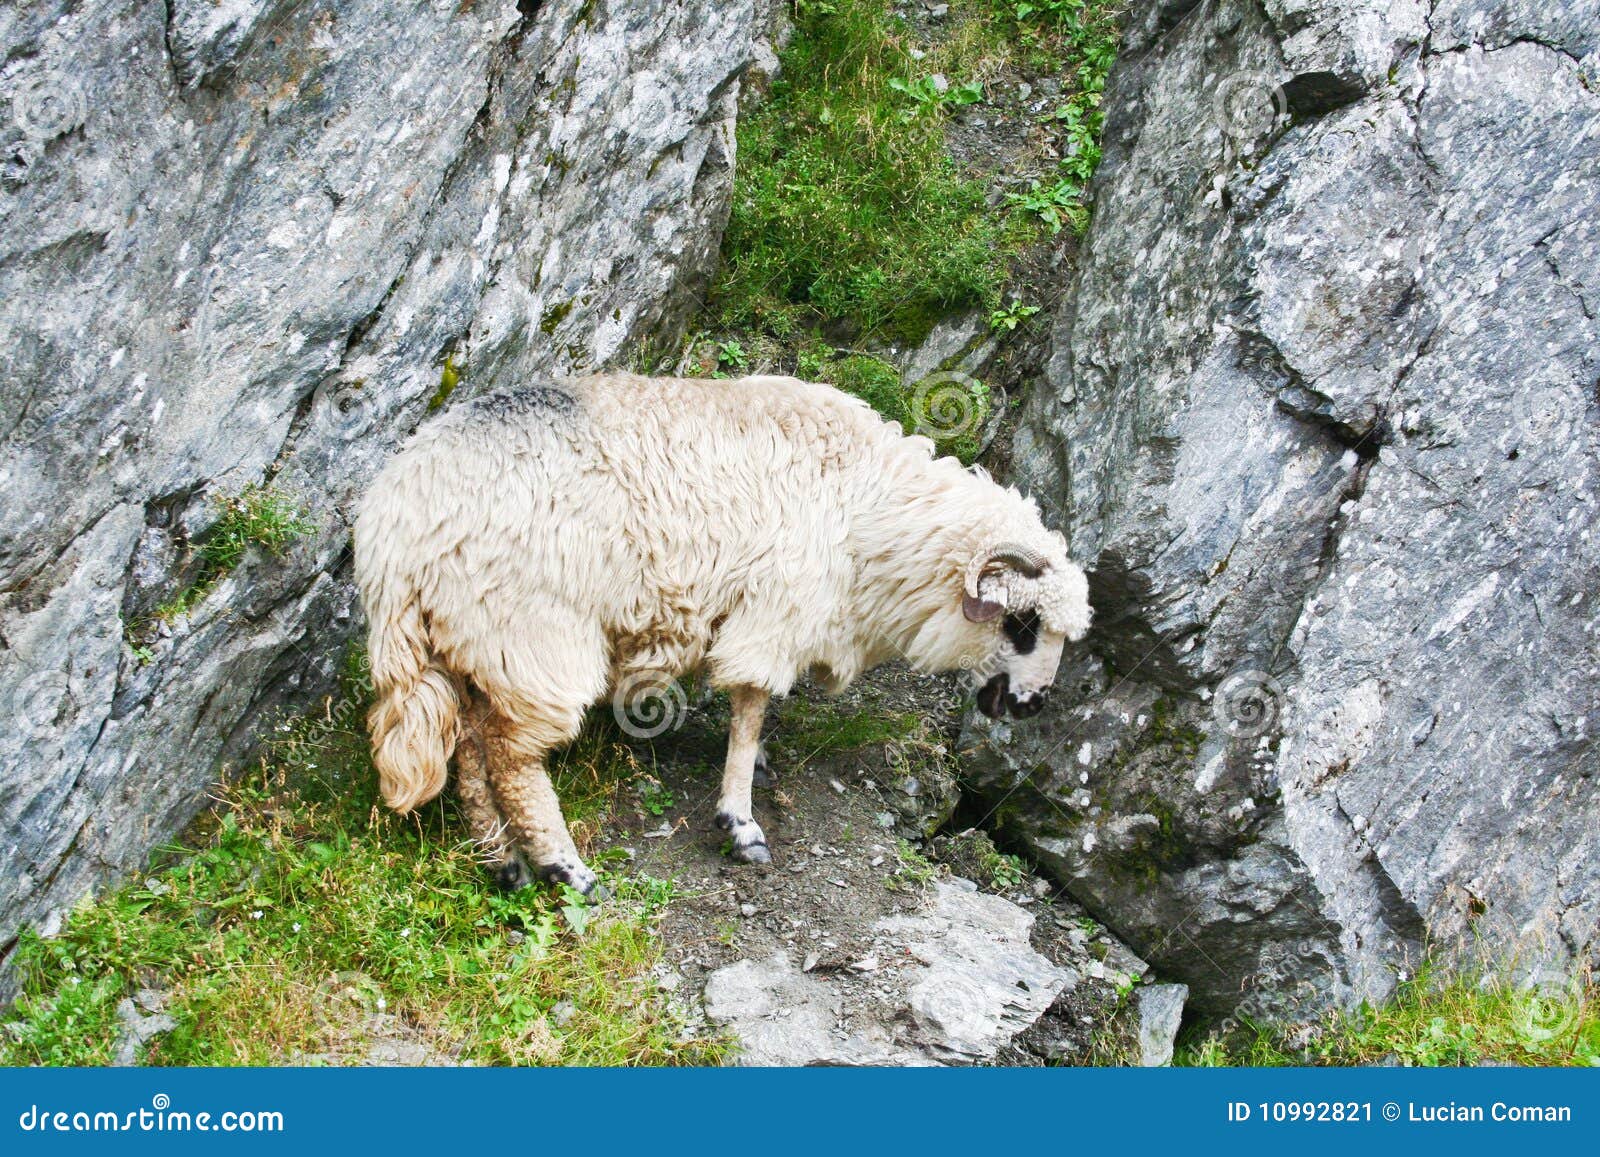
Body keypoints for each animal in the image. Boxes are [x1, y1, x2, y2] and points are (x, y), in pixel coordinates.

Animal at [355, 372, 1091, 894]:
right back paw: (565, 868)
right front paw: (741, 820)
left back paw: (503, 862)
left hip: (466, 641)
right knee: (510, 758)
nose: (1033, 705)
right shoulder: (774, 608)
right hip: (532, 634)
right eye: (1022, 622)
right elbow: (751, 705)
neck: (870, 509)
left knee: (470, 749)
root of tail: (393, 523)